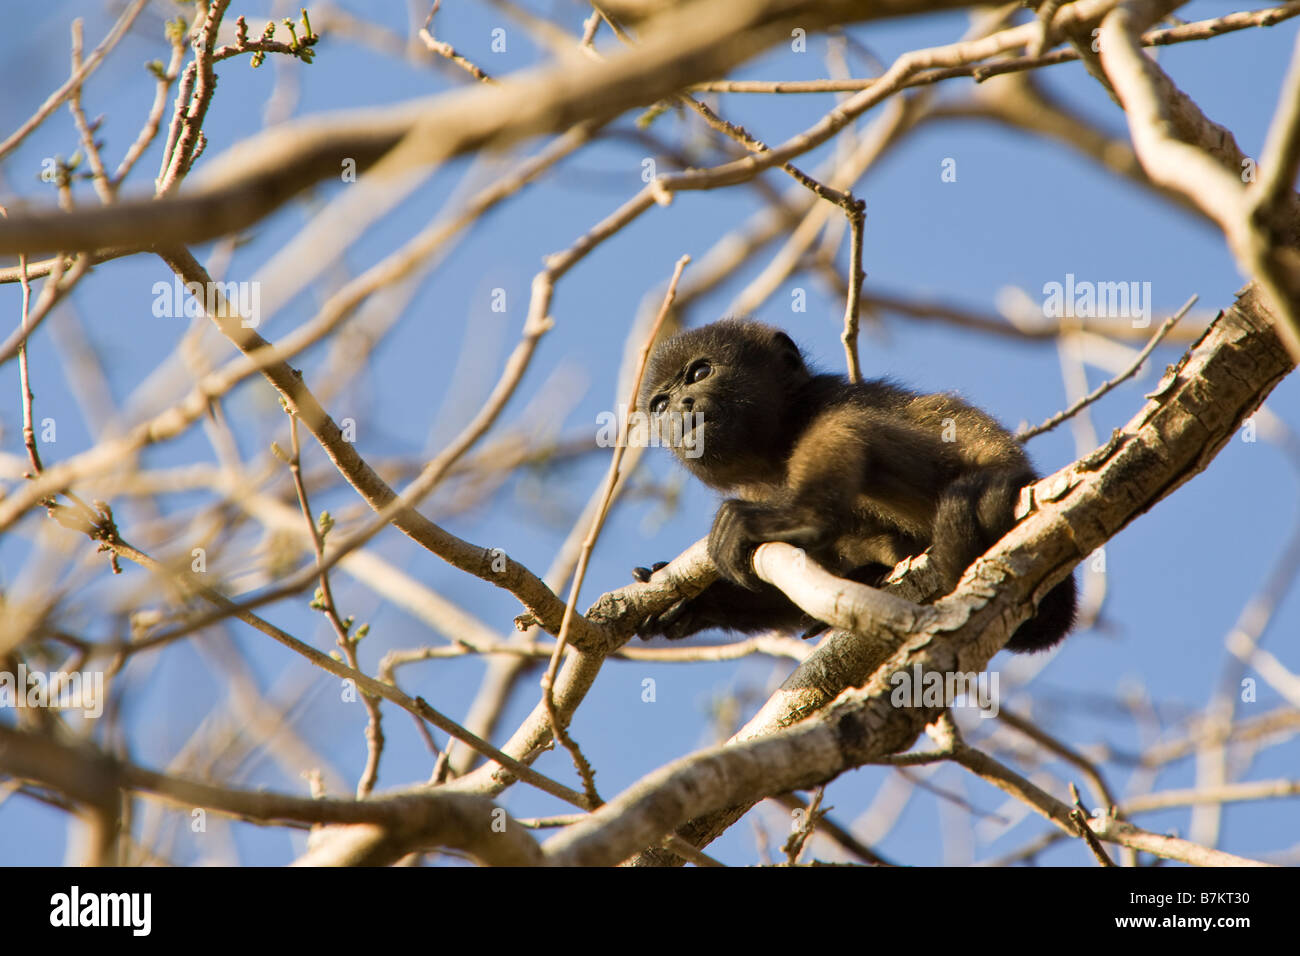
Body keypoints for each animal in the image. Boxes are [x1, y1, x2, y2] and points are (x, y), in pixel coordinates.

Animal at [631, 318, 1077, 653]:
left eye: (700, 372)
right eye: (660, 405)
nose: (679, 408)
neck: (771, 454)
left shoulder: (823, 399)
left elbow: (841, 423)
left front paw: (785, 520)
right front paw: (696, 604)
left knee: (849, 426)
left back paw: (805, 518)